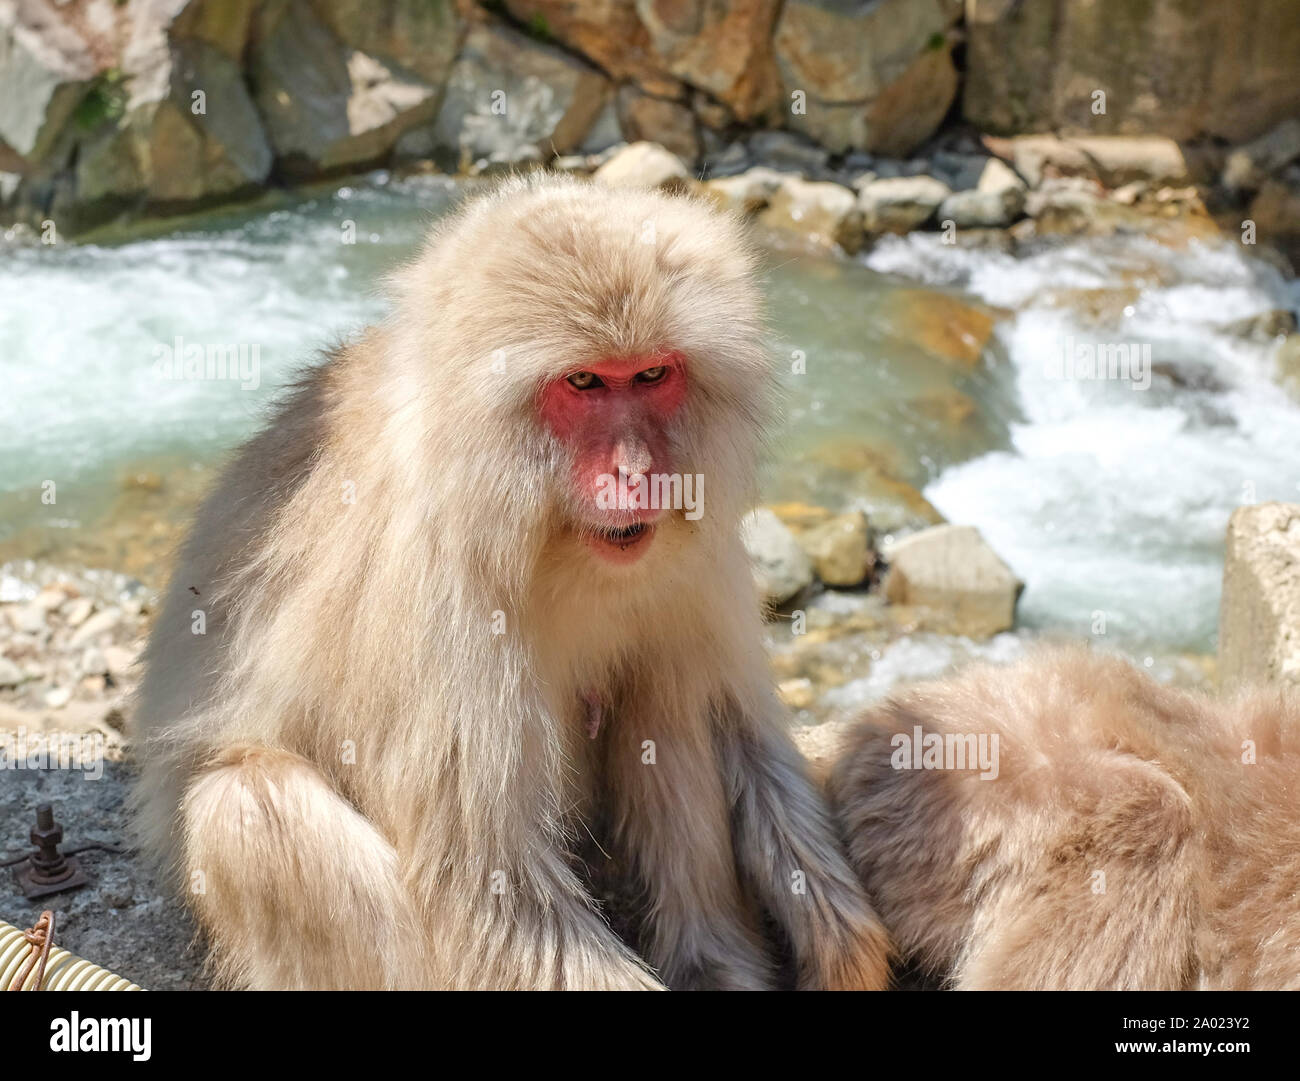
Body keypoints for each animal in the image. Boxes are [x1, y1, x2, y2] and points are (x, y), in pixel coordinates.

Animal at [130, 174, 890, 991]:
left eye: (652, 375)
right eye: (584, 382)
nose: (637, 473)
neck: (541, 531)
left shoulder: (696, 542)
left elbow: (741, 728)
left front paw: (843, 942)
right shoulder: (434, 587)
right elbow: (486, 885)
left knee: (667, 688)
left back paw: (711, 957)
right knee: (249, 806)